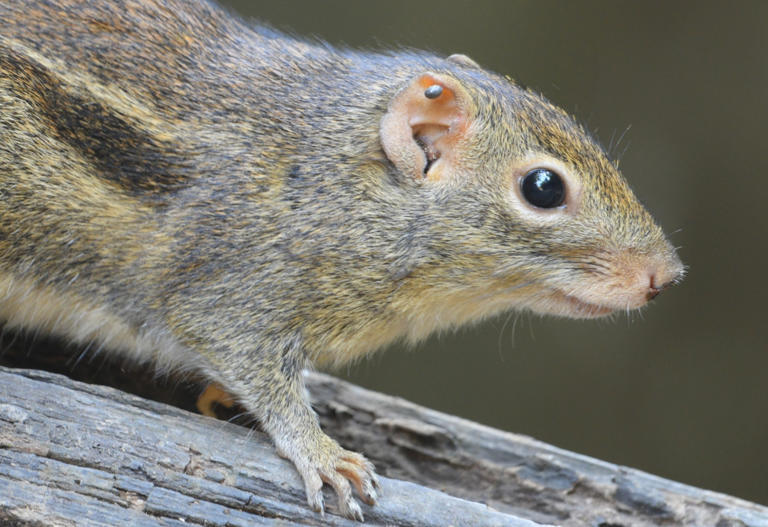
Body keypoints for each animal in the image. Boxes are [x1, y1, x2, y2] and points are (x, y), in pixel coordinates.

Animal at [0, 0, 684, 521]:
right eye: (543, 188)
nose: (666, 276)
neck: (326, 173)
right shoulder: (228, 284)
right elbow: (247, 359)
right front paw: (323, 452)